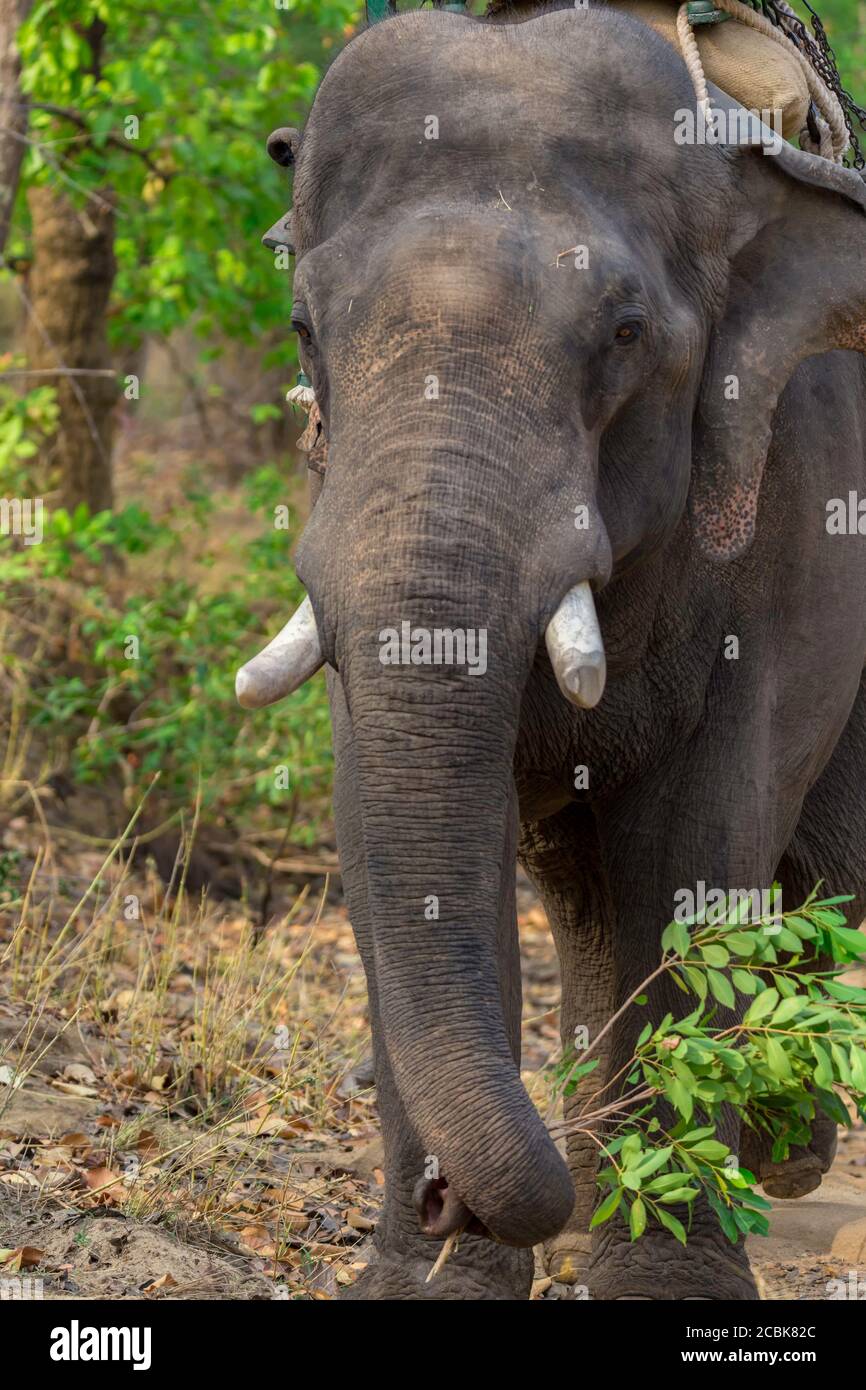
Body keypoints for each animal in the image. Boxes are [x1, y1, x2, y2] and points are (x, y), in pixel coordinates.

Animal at [237, 5, 866, 1299]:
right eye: (303, 328)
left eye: (623, 333)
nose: (443, 1200)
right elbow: (389, 836)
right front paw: (431, 1281)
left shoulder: (787, 496)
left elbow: (695, 845)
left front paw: (667, 1271)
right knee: (582, 892)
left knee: (814, 867)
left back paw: (775, 1155)